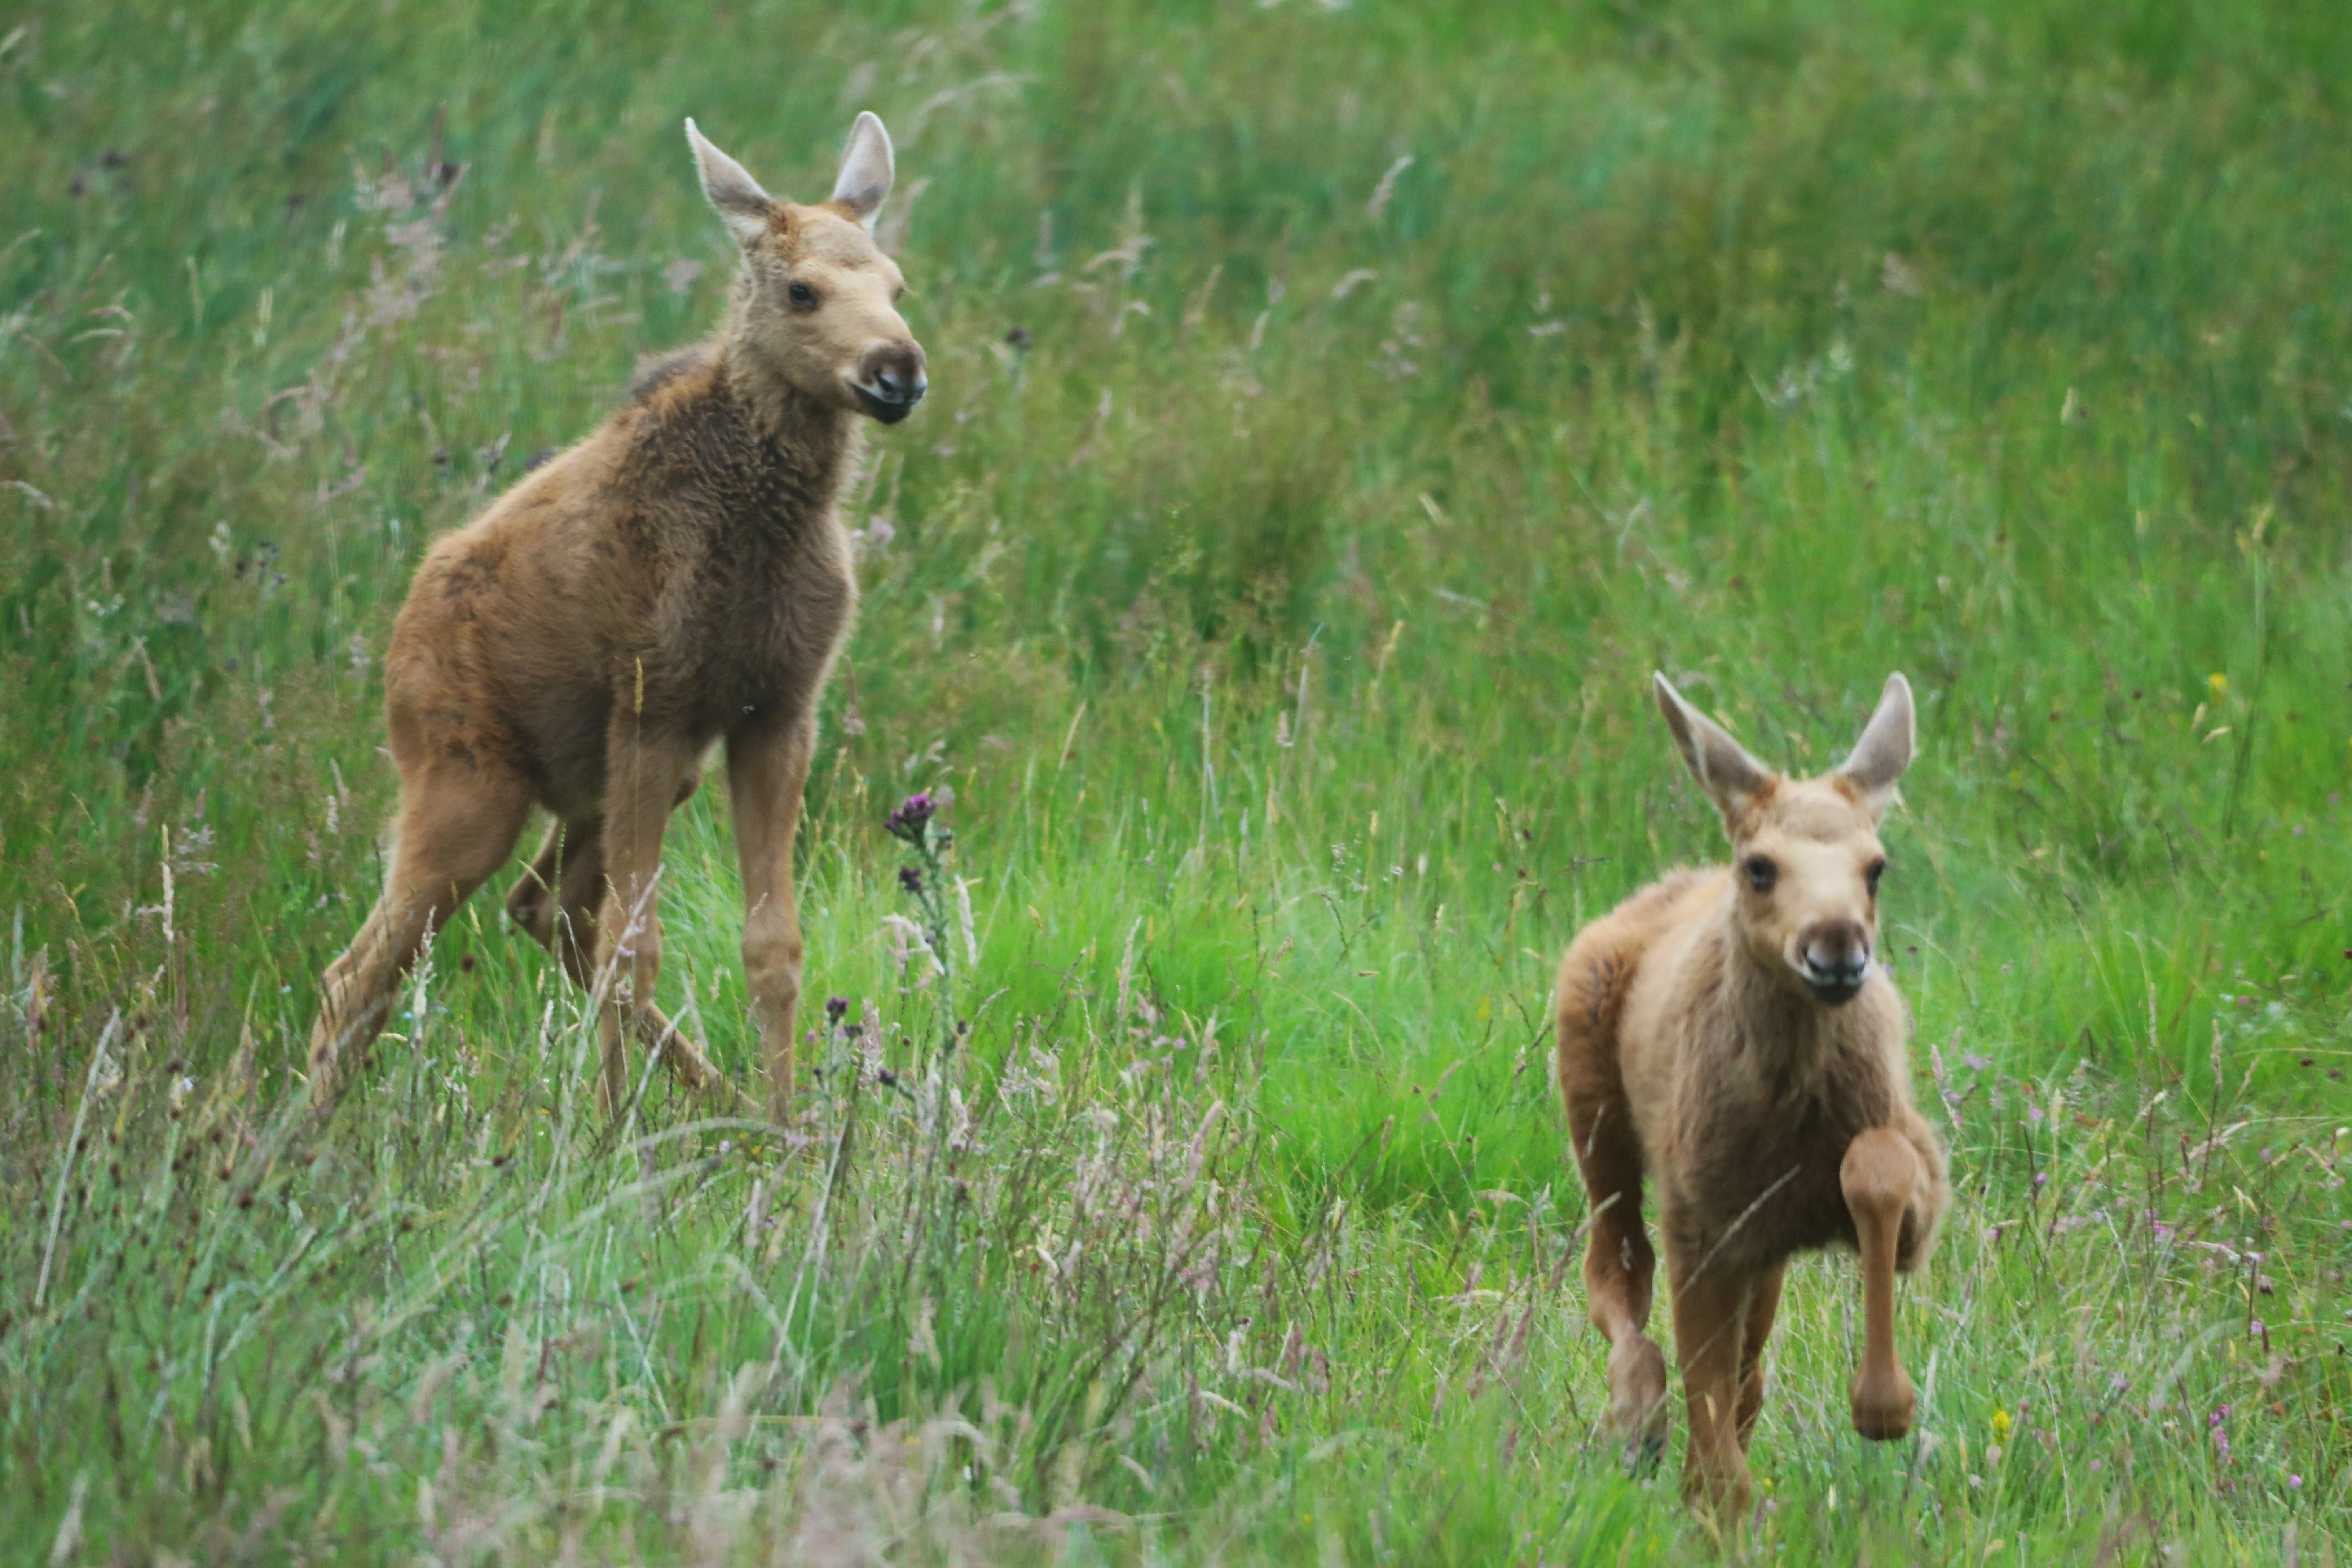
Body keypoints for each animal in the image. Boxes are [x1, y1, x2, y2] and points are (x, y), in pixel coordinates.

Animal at [308, 112, 925, 1125]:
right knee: (360, 972)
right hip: (470, 785)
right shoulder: (653, 706)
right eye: (801, 290)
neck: (765, 522)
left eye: (897, 286)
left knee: (542, 909)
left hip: (607, 780)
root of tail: (396, 637)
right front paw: (610, 1139)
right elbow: (640, 948)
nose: (897, 371)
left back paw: (727, 1107)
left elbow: (772, 945)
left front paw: (787, 1125)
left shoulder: (776, 713)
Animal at [1553, 672, 1950, 1521]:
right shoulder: (1701, 1217)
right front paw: (1717, 1503)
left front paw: (1883, 1405)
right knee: (1616, 1269)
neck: (1792, 1117)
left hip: (1754, 1247)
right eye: (1762, 867)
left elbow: (1874, 1168)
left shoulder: (1911, 1183)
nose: (1835, 947)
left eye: (1876, 866)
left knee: (1746, 1368)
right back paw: (1638, 1420)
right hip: (1594, 1115)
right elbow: (1709, 1405)